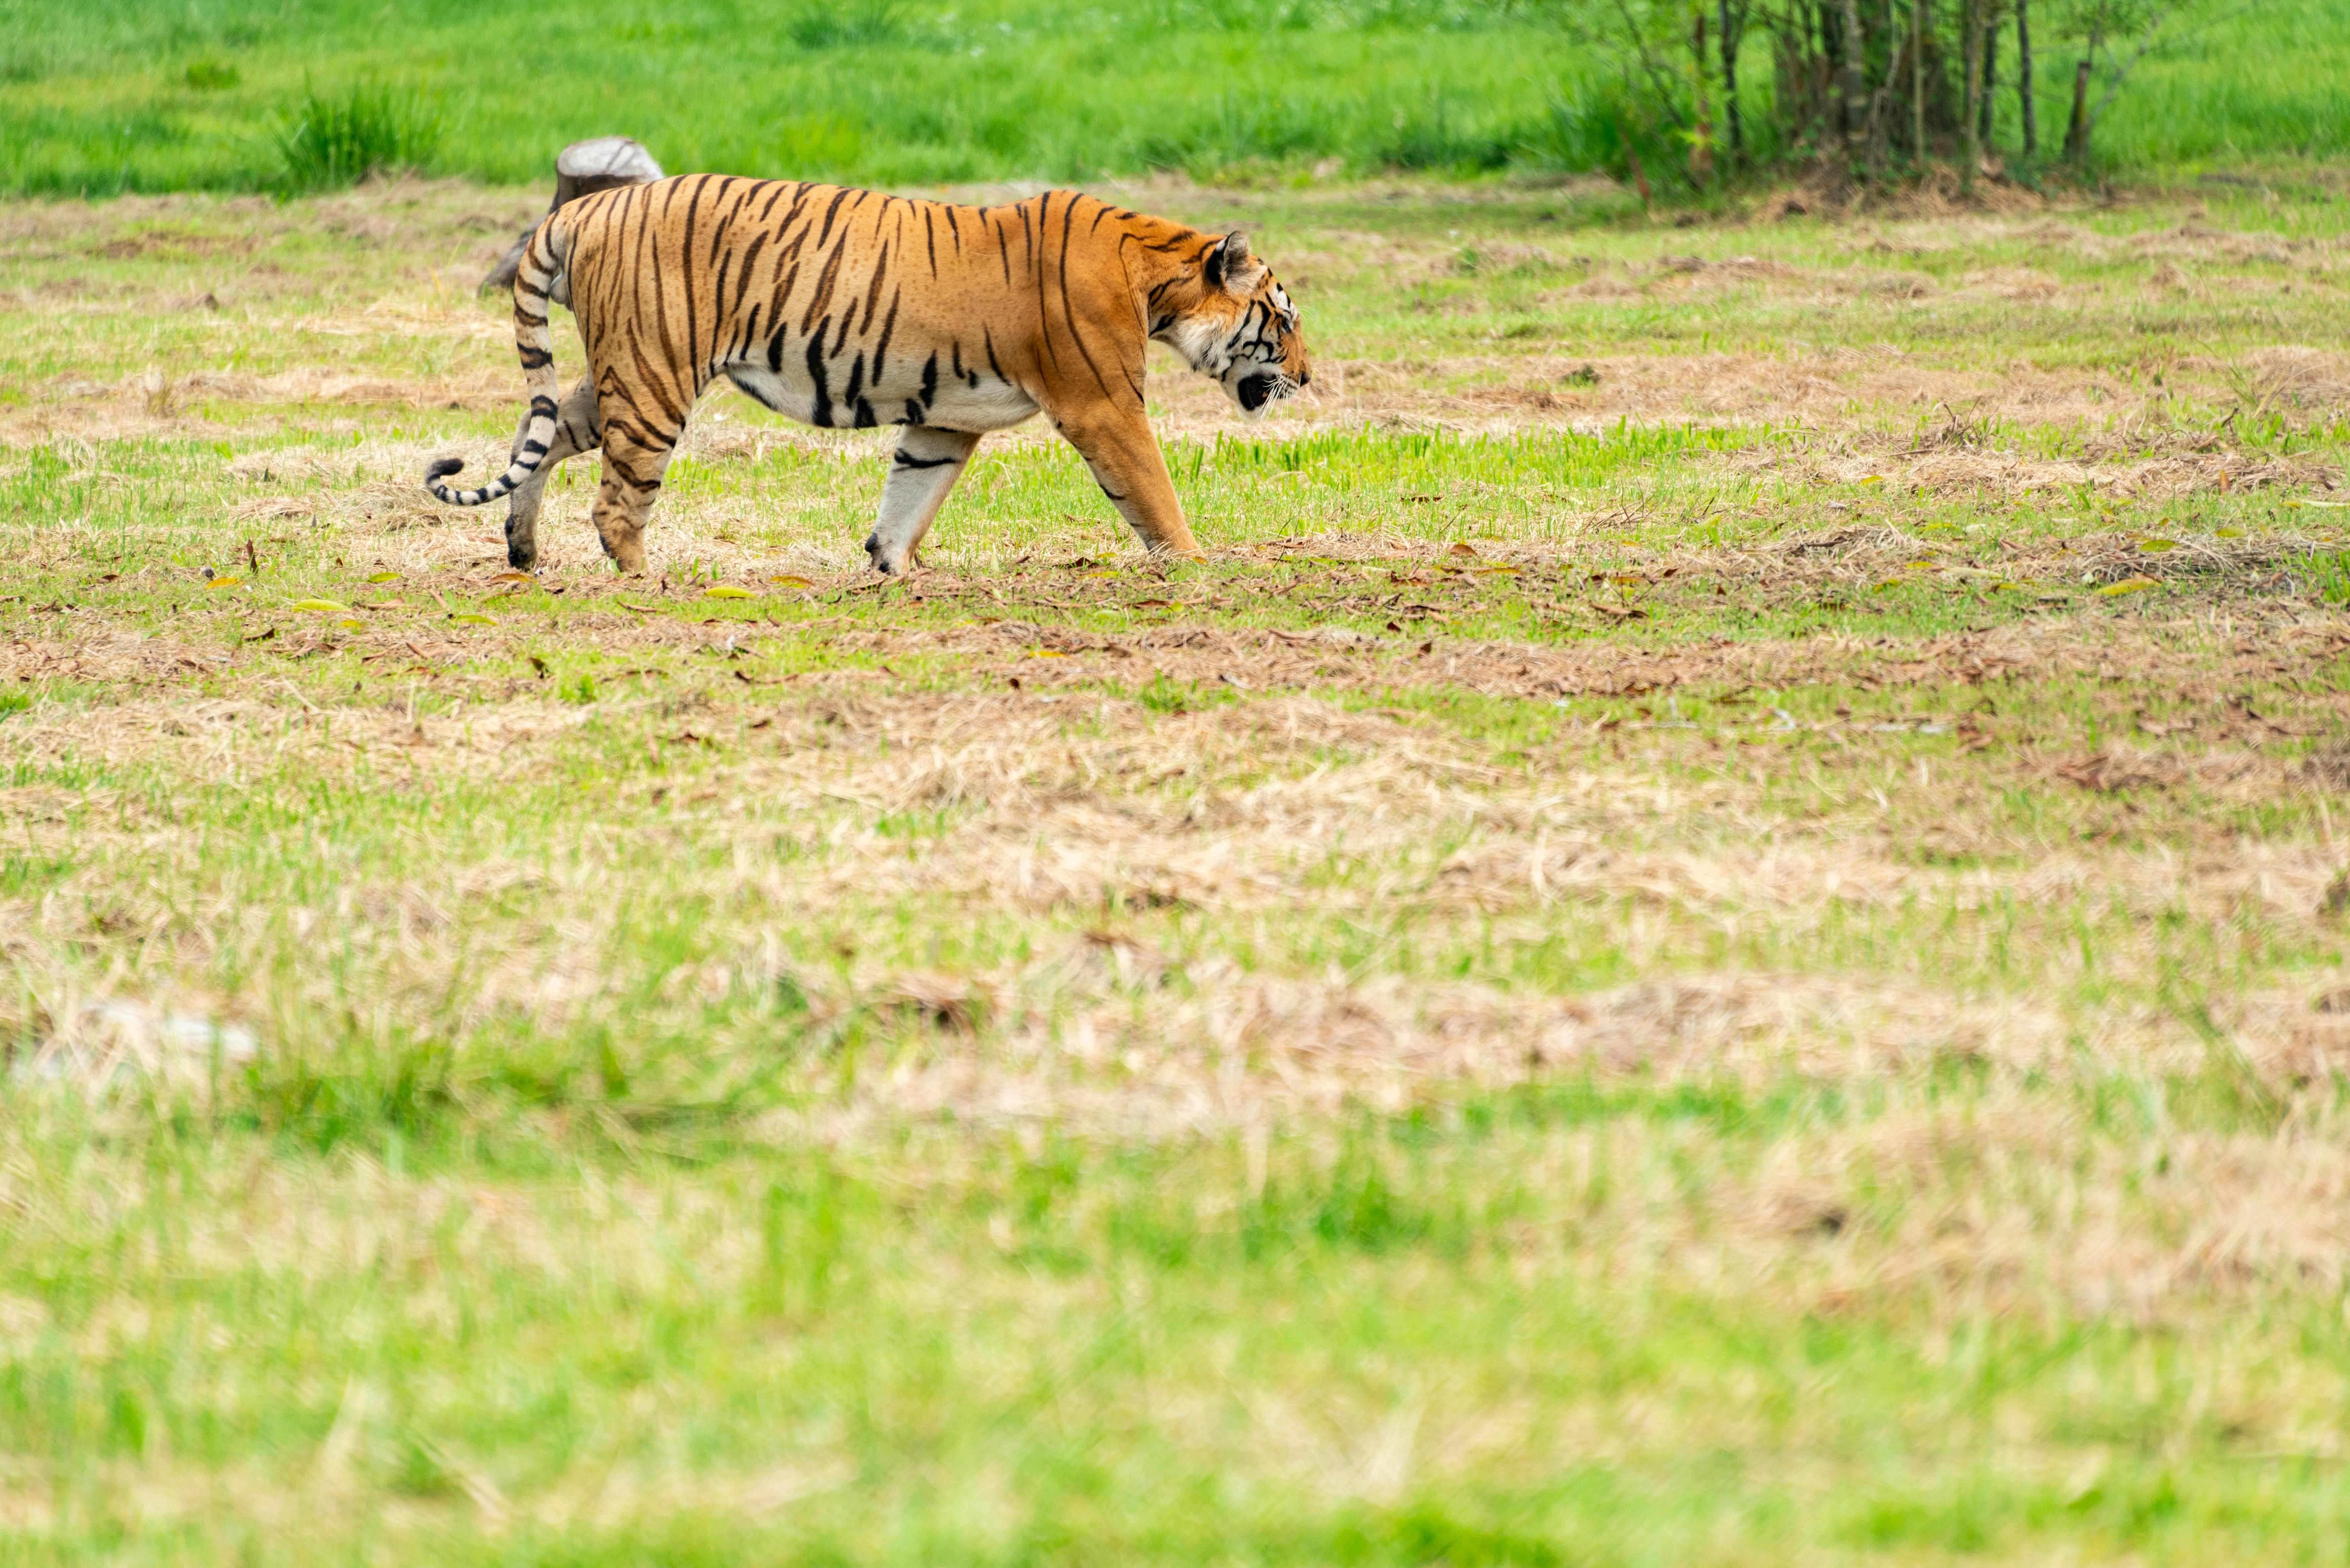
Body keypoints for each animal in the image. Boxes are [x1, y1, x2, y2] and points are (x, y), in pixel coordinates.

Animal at [424, 174, 1311, 575]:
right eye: (1285, 319)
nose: (1308, 378)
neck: (1156, 278)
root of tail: (582, 206)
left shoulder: (947, 416)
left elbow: (909, 498)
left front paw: (893, 571)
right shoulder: (1104, 406)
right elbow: (1154, 493)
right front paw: (1198, 567)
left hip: (623, 370)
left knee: (539, 435)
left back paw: (524, 552)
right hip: (655, 376)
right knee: (616, 502)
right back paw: (650, 583)